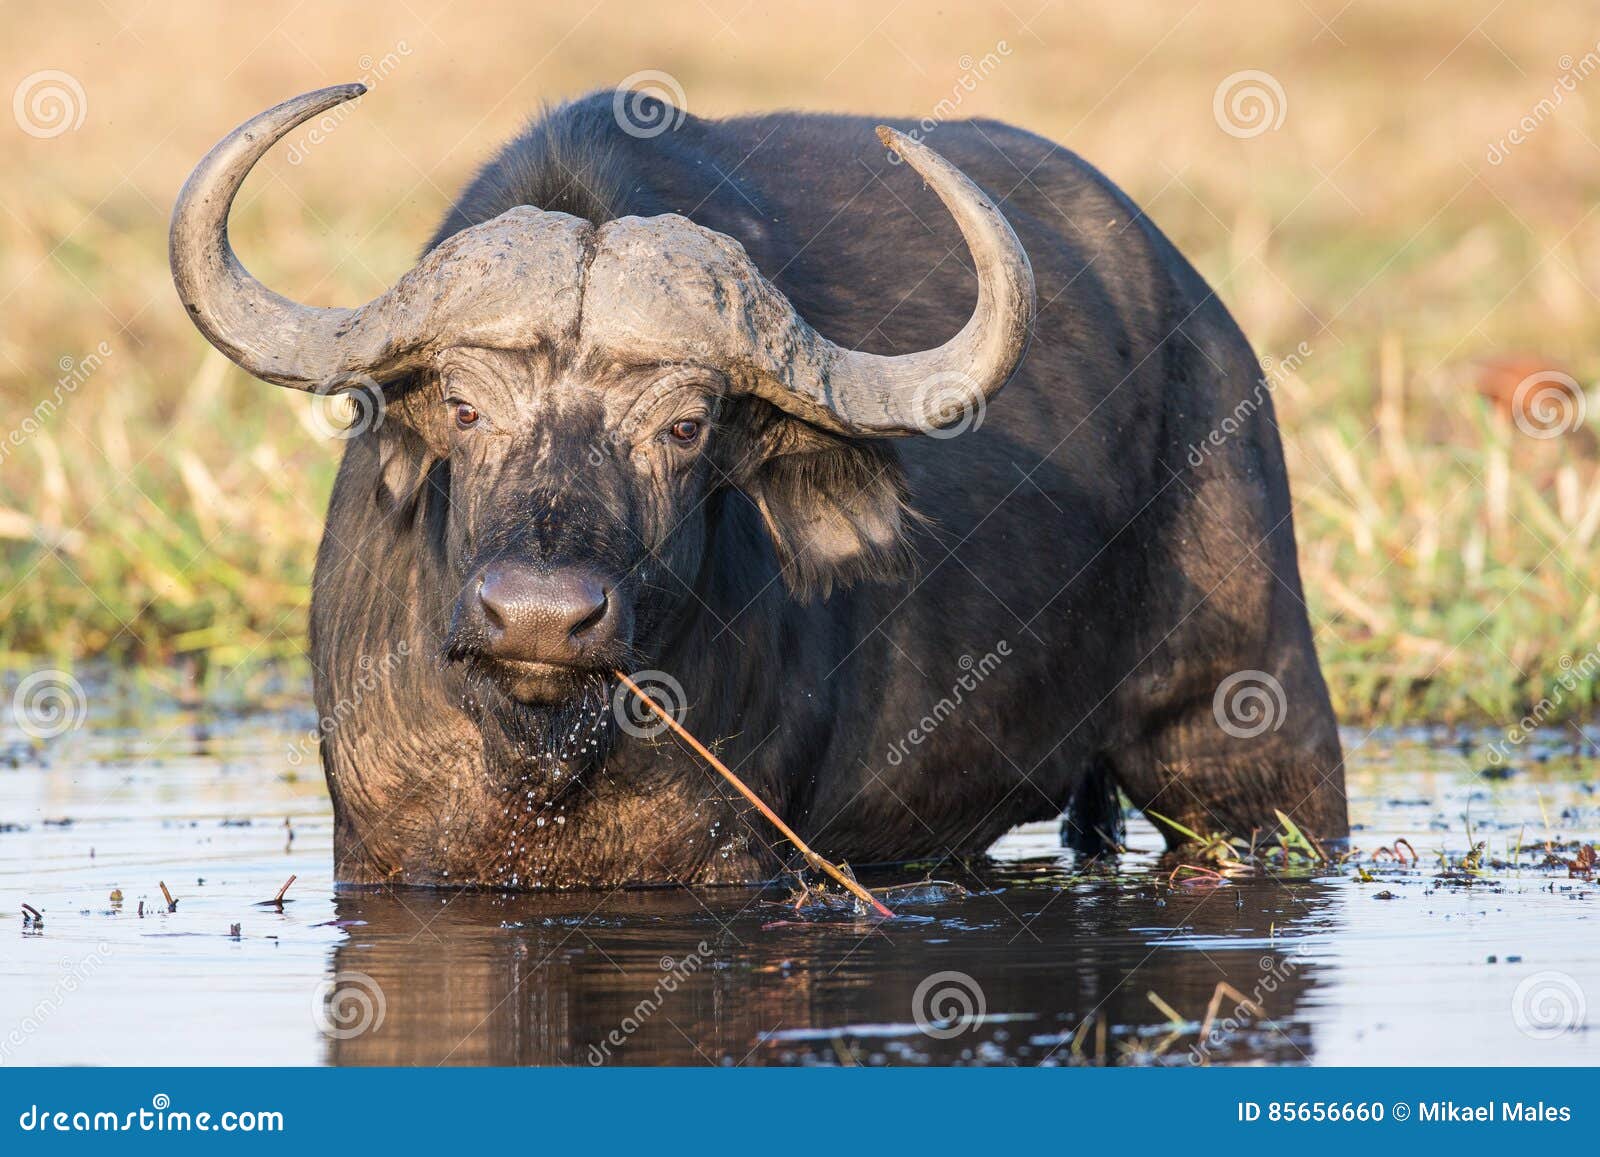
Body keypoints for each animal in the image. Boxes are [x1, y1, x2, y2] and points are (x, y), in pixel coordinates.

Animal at [170, 83, 1346, 890]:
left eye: (686, 426)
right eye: (462, 406)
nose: (540, 615)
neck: (540, 751)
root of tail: (1199, 324)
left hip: (1251, 732)